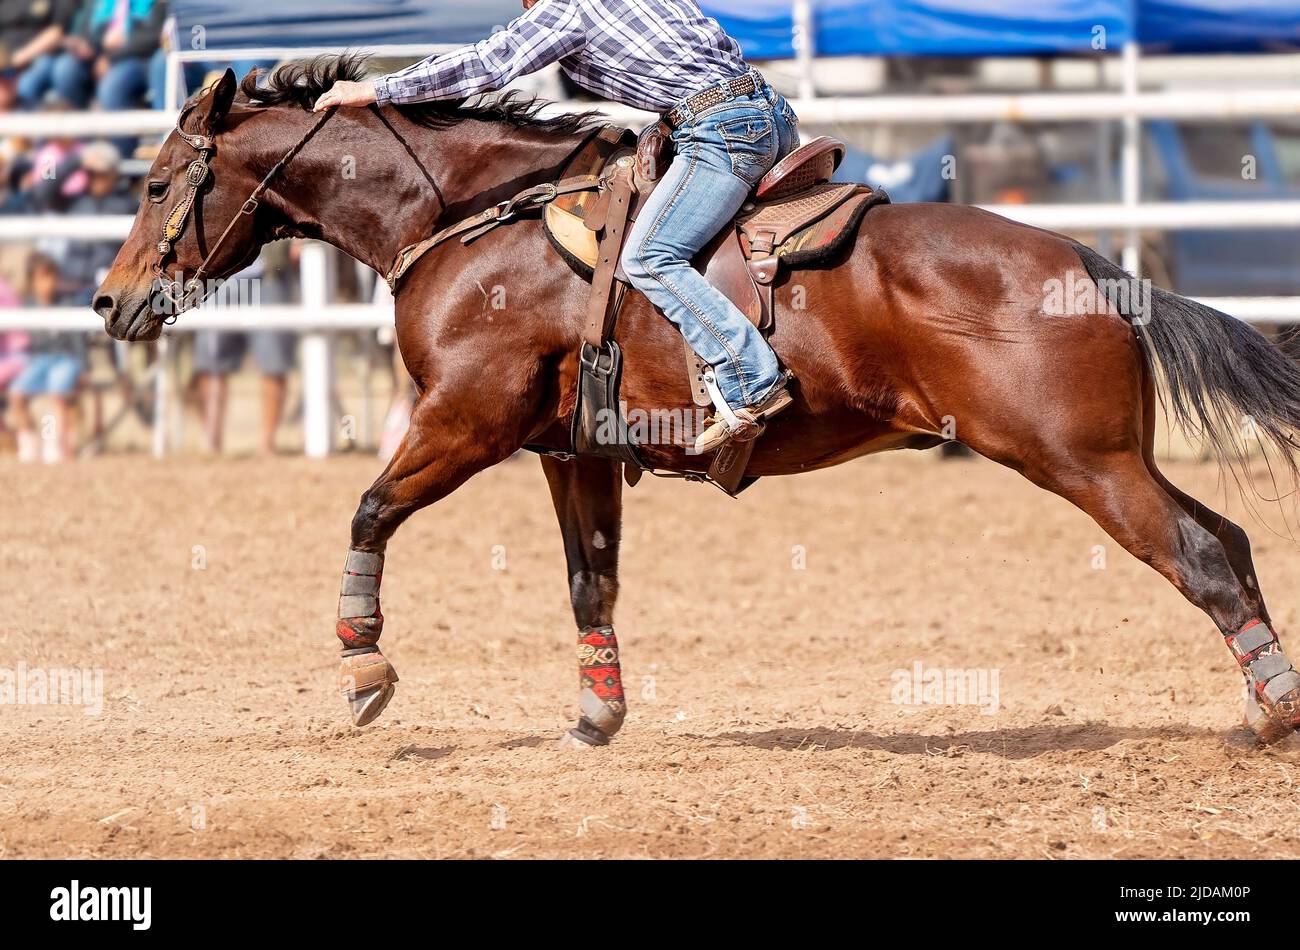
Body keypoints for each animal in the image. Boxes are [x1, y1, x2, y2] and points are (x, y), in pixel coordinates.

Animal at [93, 58, 1300, 749]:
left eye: (152, 183)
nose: (110, 300)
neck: (476, 222)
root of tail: (1097, 263)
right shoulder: (568, 450)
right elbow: (590, 579)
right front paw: (596, 716)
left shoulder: (466, 419)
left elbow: (369, 511)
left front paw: (363, 667)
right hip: (1115, 459)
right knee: (1229, 541)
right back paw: (1260, 706)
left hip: (1085, 464)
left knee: (1200, 555)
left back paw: (1272, 714)